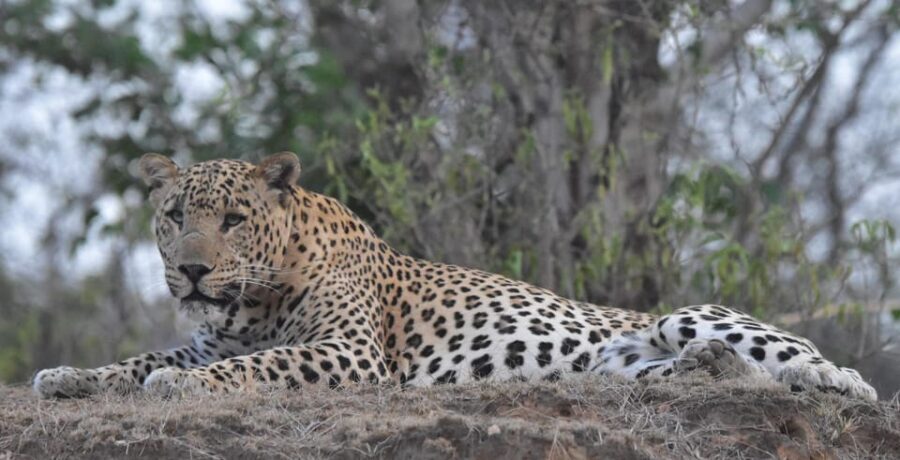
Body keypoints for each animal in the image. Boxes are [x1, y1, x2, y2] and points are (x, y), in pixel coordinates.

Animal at [32, 152, 878, 401]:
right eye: (176, 214)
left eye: (234, 219)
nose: (192, 270)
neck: (249, 307)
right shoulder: (209, 337)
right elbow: (138, 358)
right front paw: (70, 376)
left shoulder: (350, 353)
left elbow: (261, 366)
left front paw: (179, 387)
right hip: (622, 363)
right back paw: (705, 370)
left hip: (689, 311)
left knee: (839, 375)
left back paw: (819, 378)